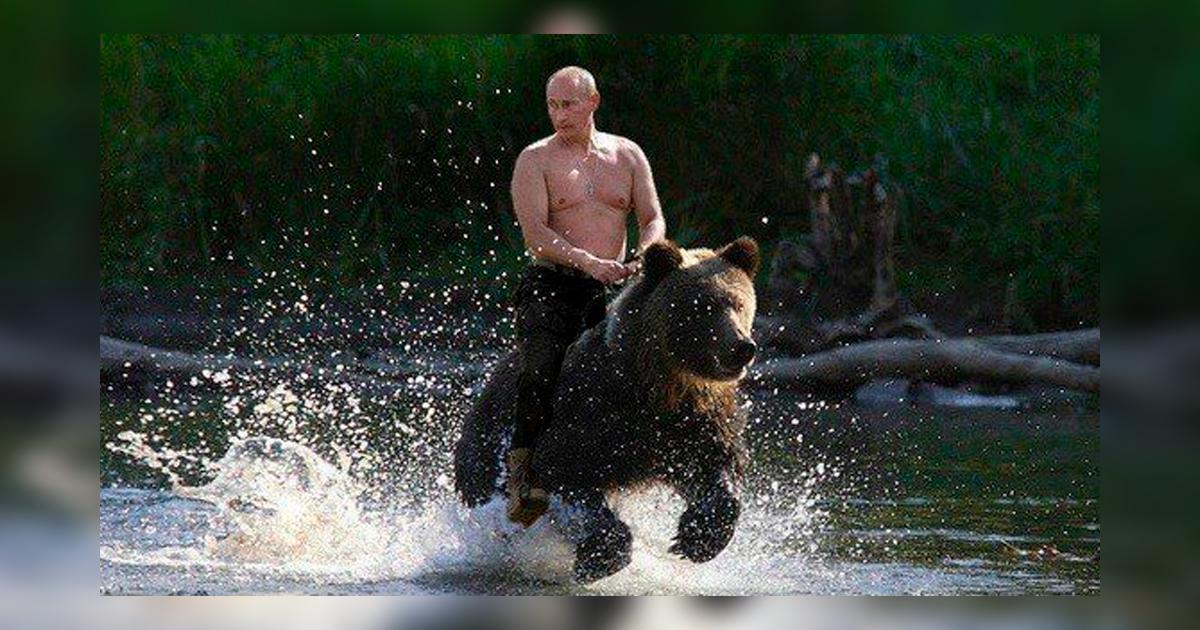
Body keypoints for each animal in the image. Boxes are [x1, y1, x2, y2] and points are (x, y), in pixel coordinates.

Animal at [453, 236, 760, 583]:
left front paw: (697, 538)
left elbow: (715, 466)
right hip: (490, 444)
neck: (658, 385)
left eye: (738, 303)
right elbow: (564, 472)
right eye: (702, 306)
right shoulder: (591, 411)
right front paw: (599, 558)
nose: (741, 347)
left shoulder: (692, 421)